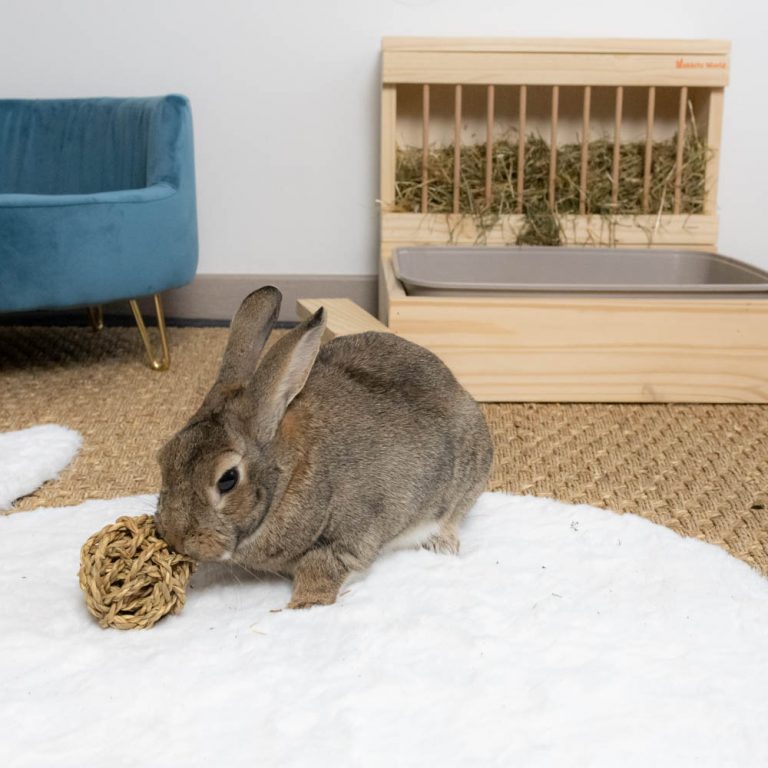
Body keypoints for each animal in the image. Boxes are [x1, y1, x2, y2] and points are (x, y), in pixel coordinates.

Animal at [155, 286, 493, 609]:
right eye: (163, 458)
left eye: (227, 479)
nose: (175, 538)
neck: (288, 476)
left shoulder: (350, 535)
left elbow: (320, 568)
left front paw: (305, 605)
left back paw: (443, 545)